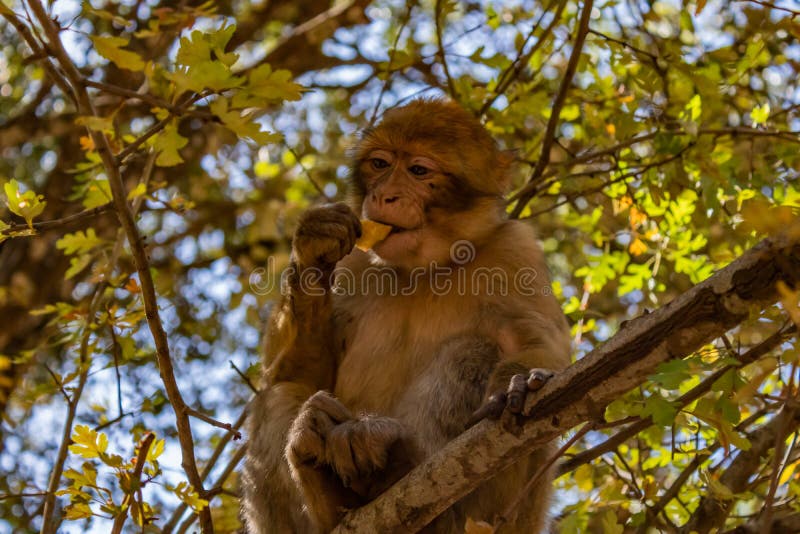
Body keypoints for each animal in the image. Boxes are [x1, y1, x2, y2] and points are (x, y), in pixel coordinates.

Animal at [240, 98, 571, 533]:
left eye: (418, 171)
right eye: (380, 164)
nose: (385, 195)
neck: (426, 269)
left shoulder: (517, 251)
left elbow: (539, 346)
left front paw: (521, 382)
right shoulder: (356, 260)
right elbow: (298, 373)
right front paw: (313, 248)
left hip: (499, 516)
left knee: (472, 349)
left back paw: (396, 464)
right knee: (279, 393)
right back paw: (322, 478)